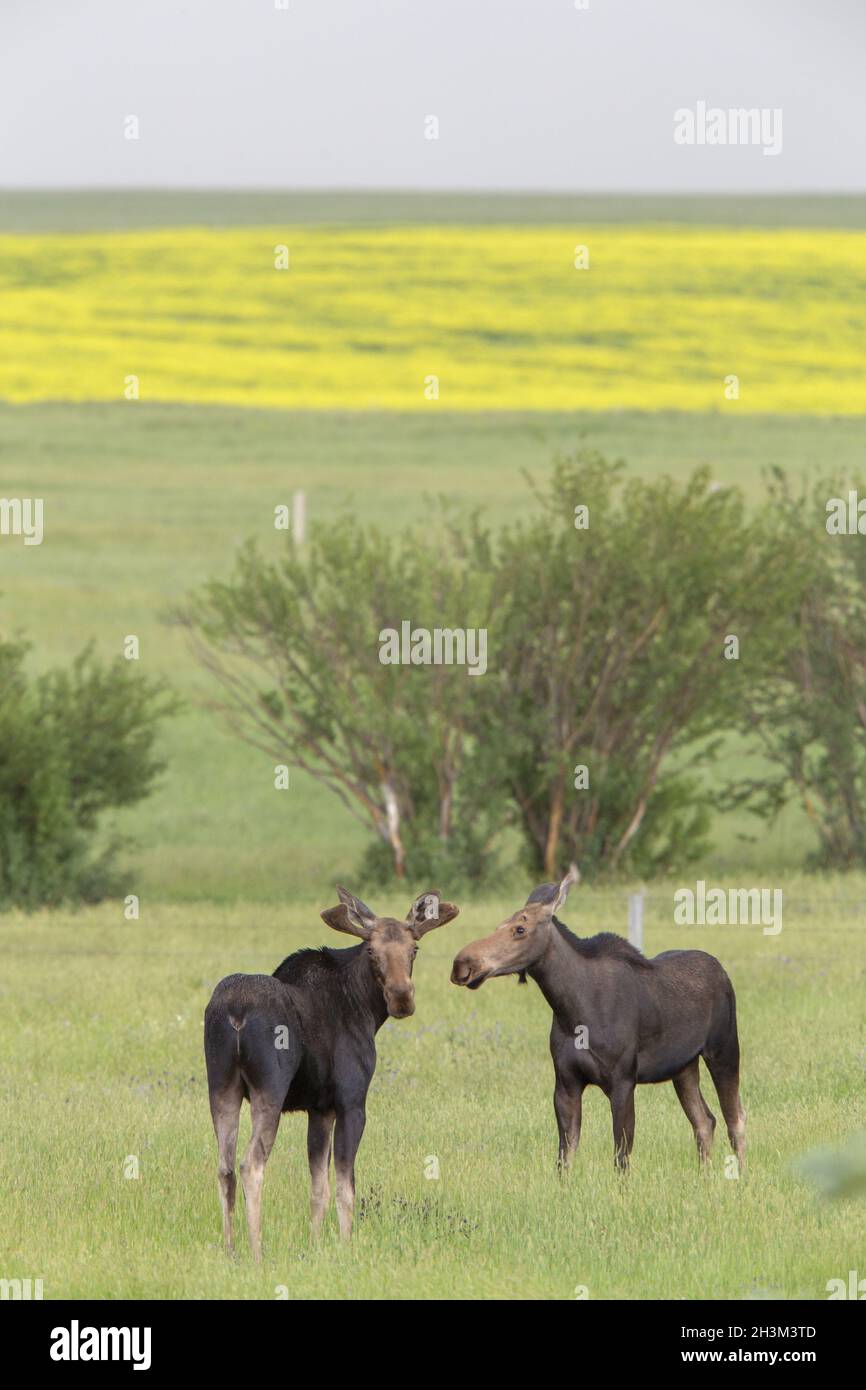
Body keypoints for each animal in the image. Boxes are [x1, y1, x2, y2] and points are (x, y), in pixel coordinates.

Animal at [204, 886, 458, 1259]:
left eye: (414, 948)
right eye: (372, 951)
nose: (401, 997)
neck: (366, 1008)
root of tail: (235, 1012)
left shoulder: (319, 1108)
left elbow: (317, 1187)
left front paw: (315, 1246)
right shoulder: (351, 1101)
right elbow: (345, 1186)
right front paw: (345, 1246)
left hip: (222, 1086)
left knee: (224, 1167)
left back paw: (230, 1250)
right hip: (270, 1089)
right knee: (250, 1164)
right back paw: (256, 1252)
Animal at [451, 866, 745, 1174]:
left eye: (519, 929)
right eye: (500, 925)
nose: (462, 964)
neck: (573, 1011)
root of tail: (722, 971)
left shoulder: (623, 1081)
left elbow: (621, 1158)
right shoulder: (565, 1084)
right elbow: (564, 1159)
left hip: (723, 1050)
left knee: (735, 1119)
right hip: (684, 1067)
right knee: (704, 1120)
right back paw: (705, 1177)